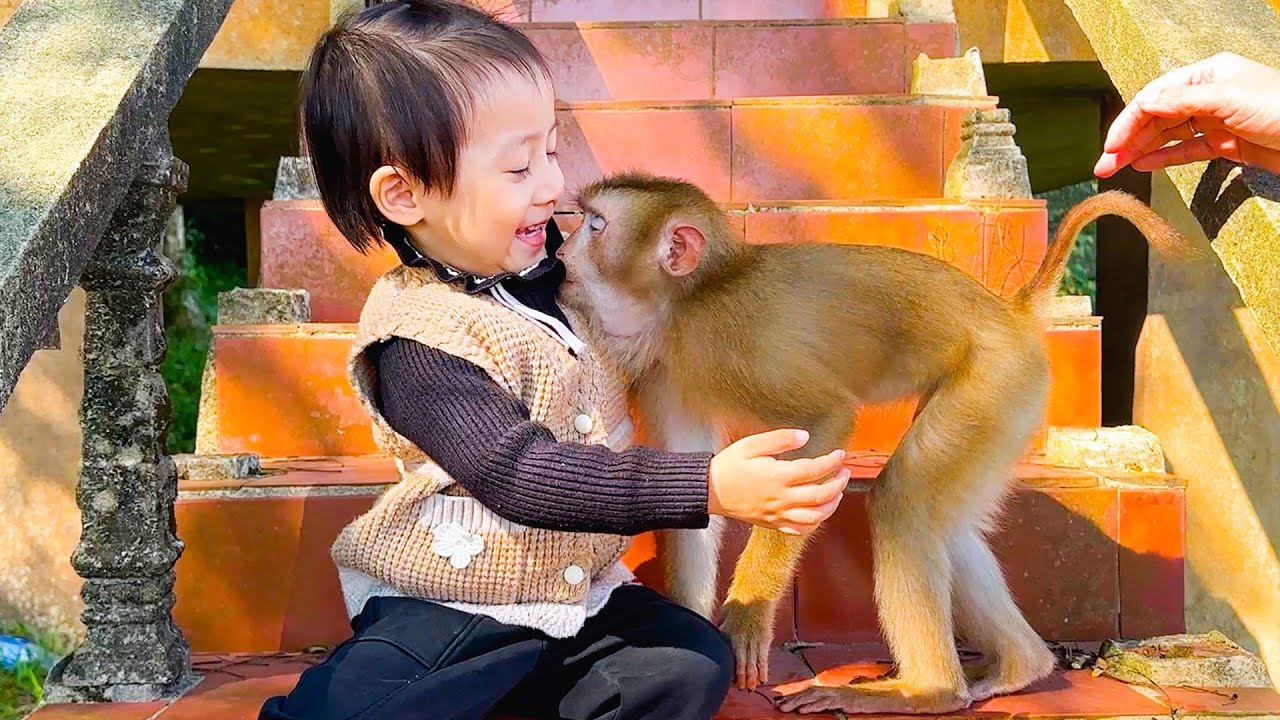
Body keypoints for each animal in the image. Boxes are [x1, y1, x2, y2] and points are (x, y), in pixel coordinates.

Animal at [553, 171, 1190, 715]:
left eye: (595, 225)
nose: (558, 254)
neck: (687, 302)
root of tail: (1009, 314)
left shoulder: (731, 342)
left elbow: (826, 420)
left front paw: (748, 615)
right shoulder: (667, 373)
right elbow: (694, 491)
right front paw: (691, 618)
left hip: (996, 383)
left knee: (903, 503)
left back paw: (926, 691)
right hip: (1009, 404)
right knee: (944, 523)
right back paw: (1019, 667)